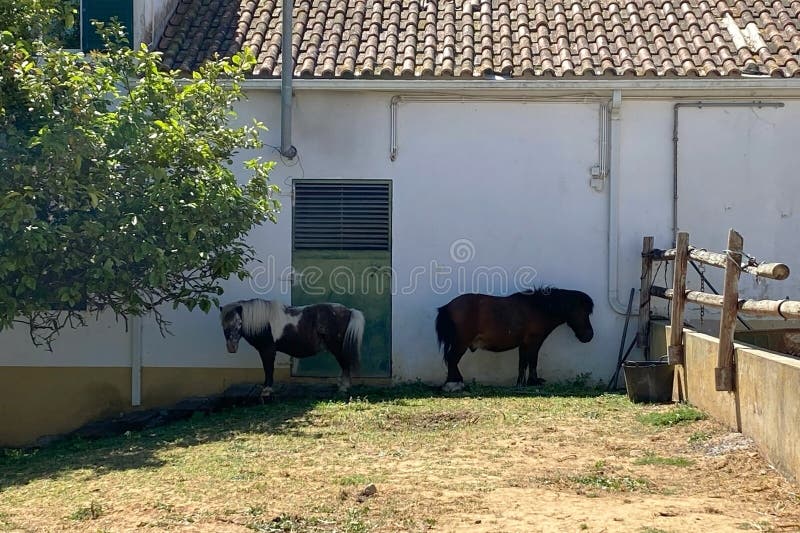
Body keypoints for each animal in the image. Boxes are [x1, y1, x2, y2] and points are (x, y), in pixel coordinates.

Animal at [220, 299, 365, 397]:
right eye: (223, 324)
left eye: (239, 323)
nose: (231, 347)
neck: (264, 323)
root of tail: (349, 311)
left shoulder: (267, 351)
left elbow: (268, 369)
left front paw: (267, 389)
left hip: (337, 347)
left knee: (345, 364)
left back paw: (344, 387)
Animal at [434, 287, 594, 392]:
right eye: (584, 312)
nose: (589, 336)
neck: (537, 307)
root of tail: (447, 307)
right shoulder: (534, 342)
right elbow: (533, 362)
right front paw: (533, 382)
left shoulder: (523, 344)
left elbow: (522, 364)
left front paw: (521, 384)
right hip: (460, 343)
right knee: (452, 360)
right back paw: (453, 385)